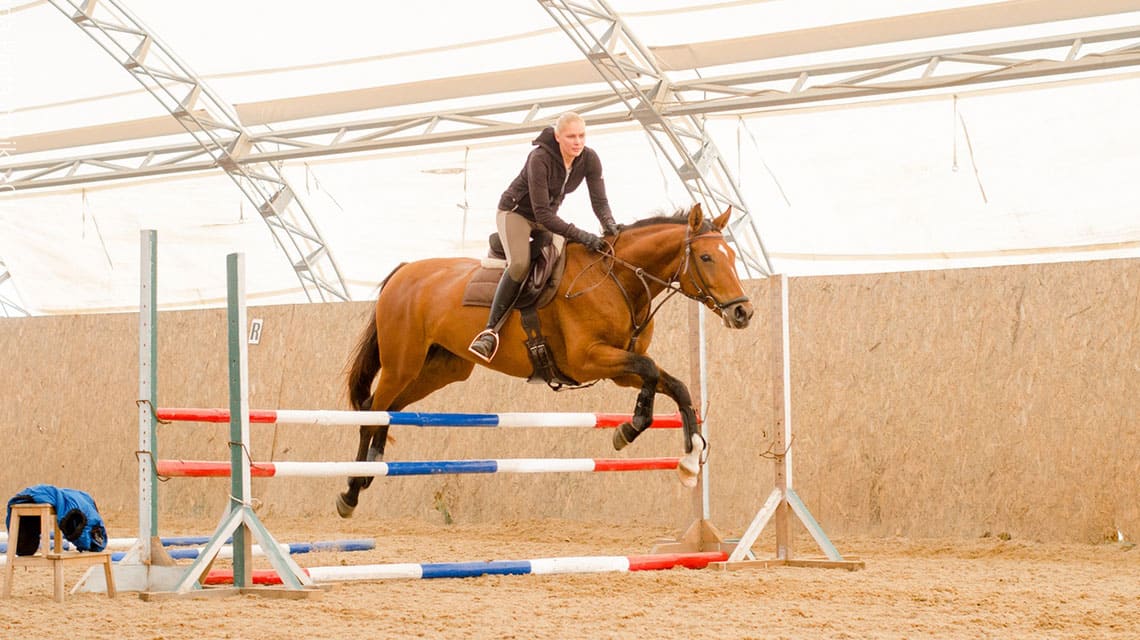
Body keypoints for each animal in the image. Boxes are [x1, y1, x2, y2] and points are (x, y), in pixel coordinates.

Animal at [332, 201, 752, 515]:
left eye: (732, 255)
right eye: (707, 257)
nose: (743, 312)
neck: (616, 279)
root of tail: (405, 272)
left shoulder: (619, 366)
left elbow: (676, 386)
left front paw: (689, 459)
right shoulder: (589, 359)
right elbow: (651, 374)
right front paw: (629, 430)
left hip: (440, 368)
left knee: (388, 408)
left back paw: (370, 469)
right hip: (403, 362)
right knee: (373, 408)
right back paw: (351, 490)